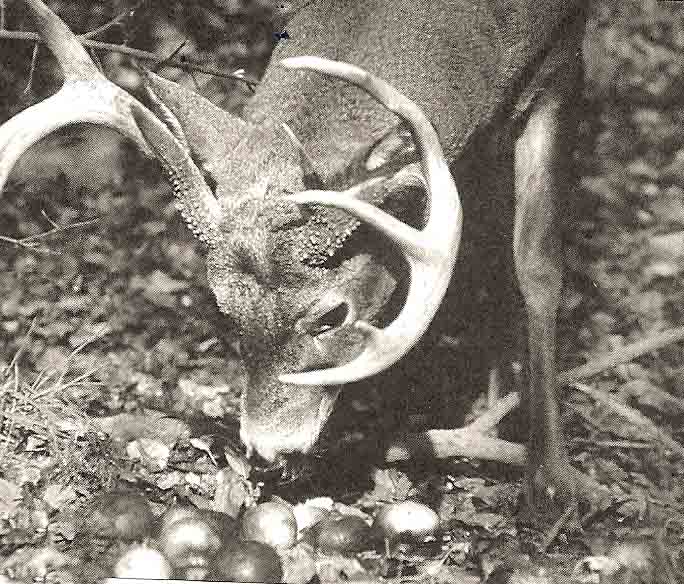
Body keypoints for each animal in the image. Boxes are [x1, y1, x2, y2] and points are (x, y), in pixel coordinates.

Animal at [0, 0, 601, 519]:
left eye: (332, 315)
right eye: (223, 312)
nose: (268, 450)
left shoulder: (562, 51)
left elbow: (536, 261)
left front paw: (550, 484)